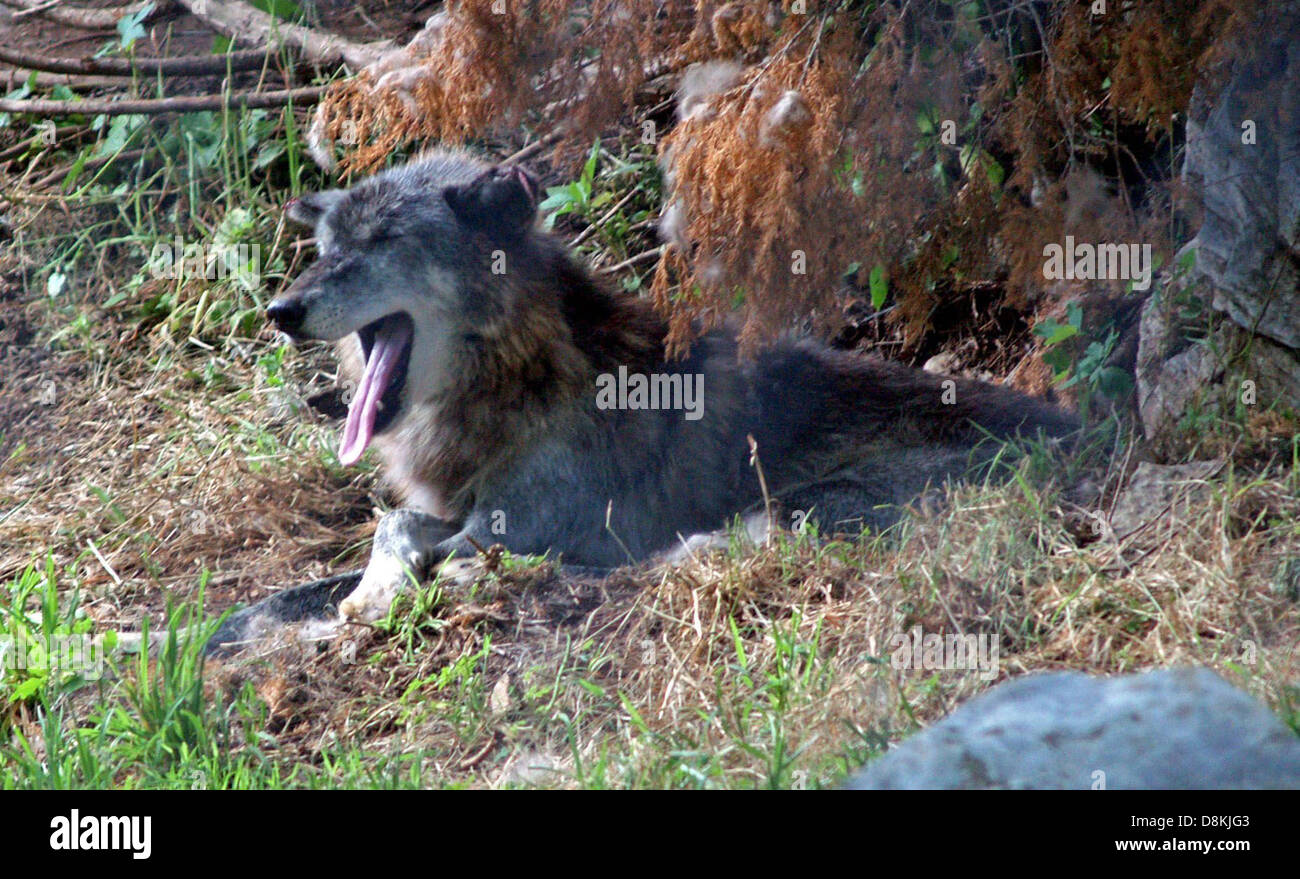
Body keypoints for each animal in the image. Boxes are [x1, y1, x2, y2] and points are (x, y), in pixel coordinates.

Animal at [208, 150, 1077, 650]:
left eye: (385, 241)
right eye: (326, 249)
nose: (281, 311)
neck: (521, 380)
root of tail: (1087, 433)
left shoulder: (518, 523)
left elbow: (416, 537)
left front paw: (382, 593)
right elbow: (326, 568)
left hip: (805, 499)